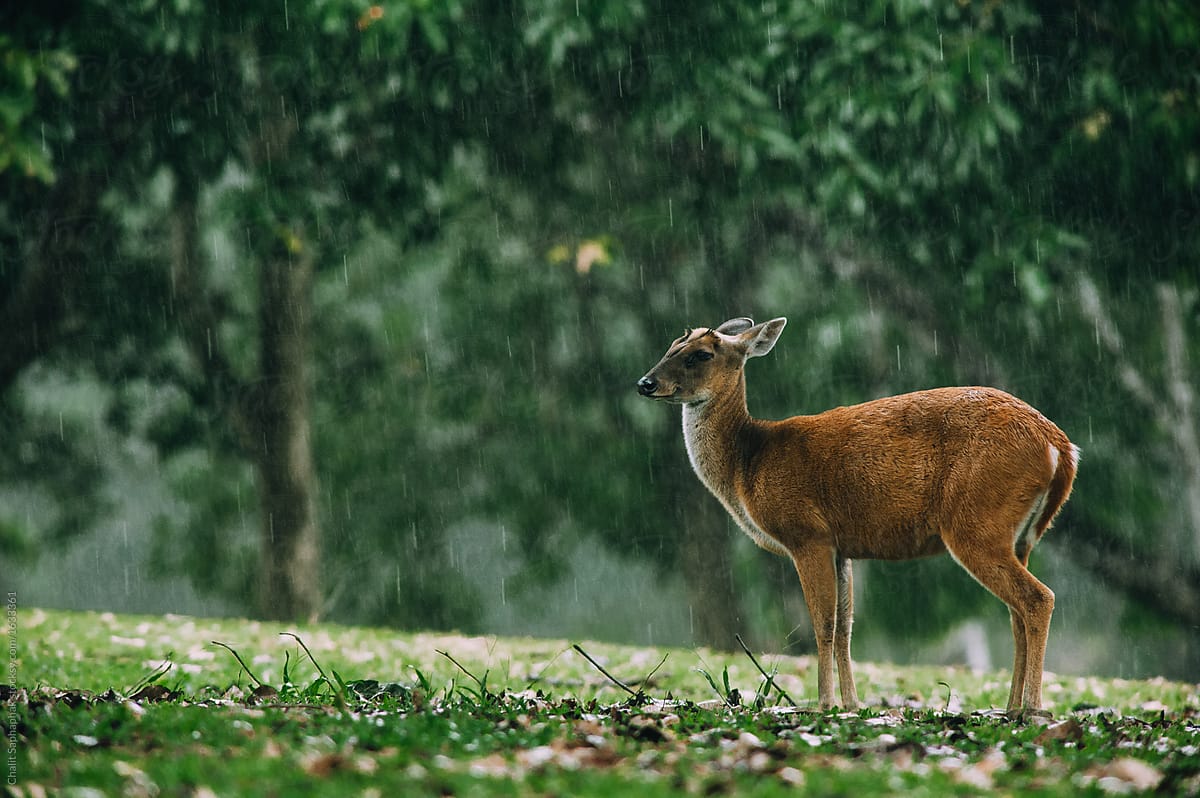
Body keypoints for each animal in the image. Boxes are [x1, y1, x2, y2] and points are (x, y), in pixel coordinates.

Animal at [636, 317, 1078, 714]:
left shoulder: (807, 532)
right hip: (1021, 535)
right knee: (1016, 612)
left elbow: (823, 624)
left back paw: (1033, 707)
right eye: (671, 344)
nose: (646, 383)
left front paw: (824, 703)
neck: (749, 464)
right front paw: (851, 703)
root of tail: (1061, 447)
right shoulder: (841, 546)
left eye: (701, 354)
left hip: (976, 522)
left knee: (1037, 598)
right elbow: (845, 626)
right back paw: (1010, 707)